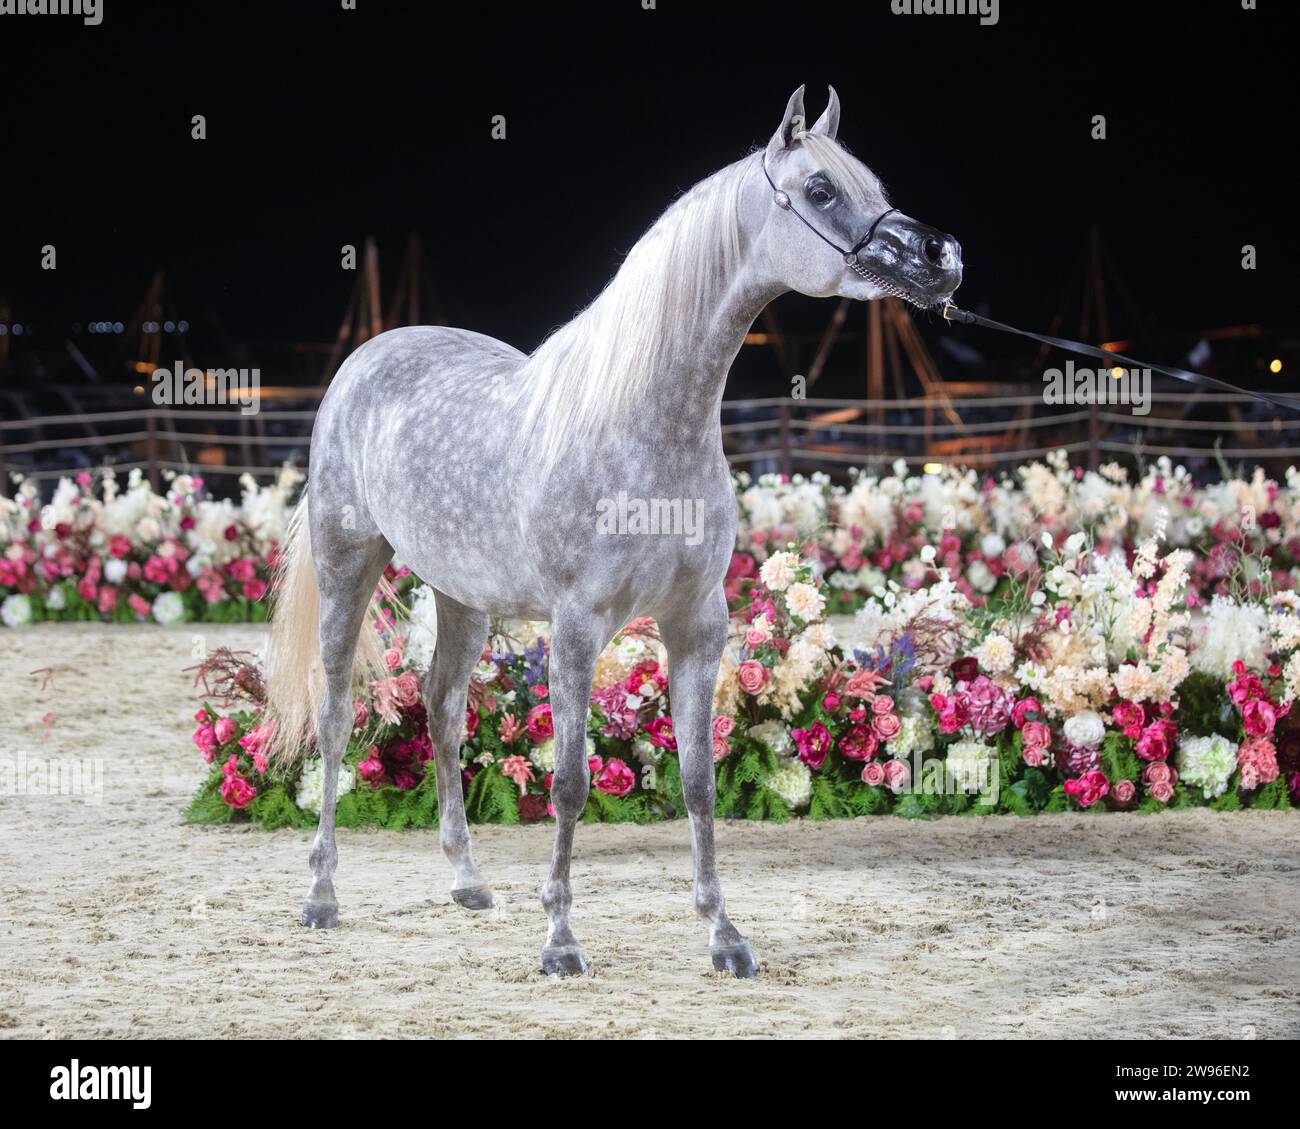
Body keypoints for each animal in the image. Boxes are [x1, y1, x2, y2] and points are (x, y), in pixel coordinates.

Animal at [264, 85, 963, 978]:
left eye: (871, 185)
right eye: (819, 190)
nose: (942, 256)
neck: (644, 421)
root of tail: (365, 359)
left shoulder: (697, 626)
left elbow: (699, 779)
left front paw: (724, 935)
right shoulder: (576, 628)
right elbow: (568, 782)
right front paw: (561, 940)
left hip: (463, 596)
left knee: (443, 707)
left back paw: (468, 880)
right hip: (349, 566)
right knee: (336, 713)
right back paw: (321, 894)